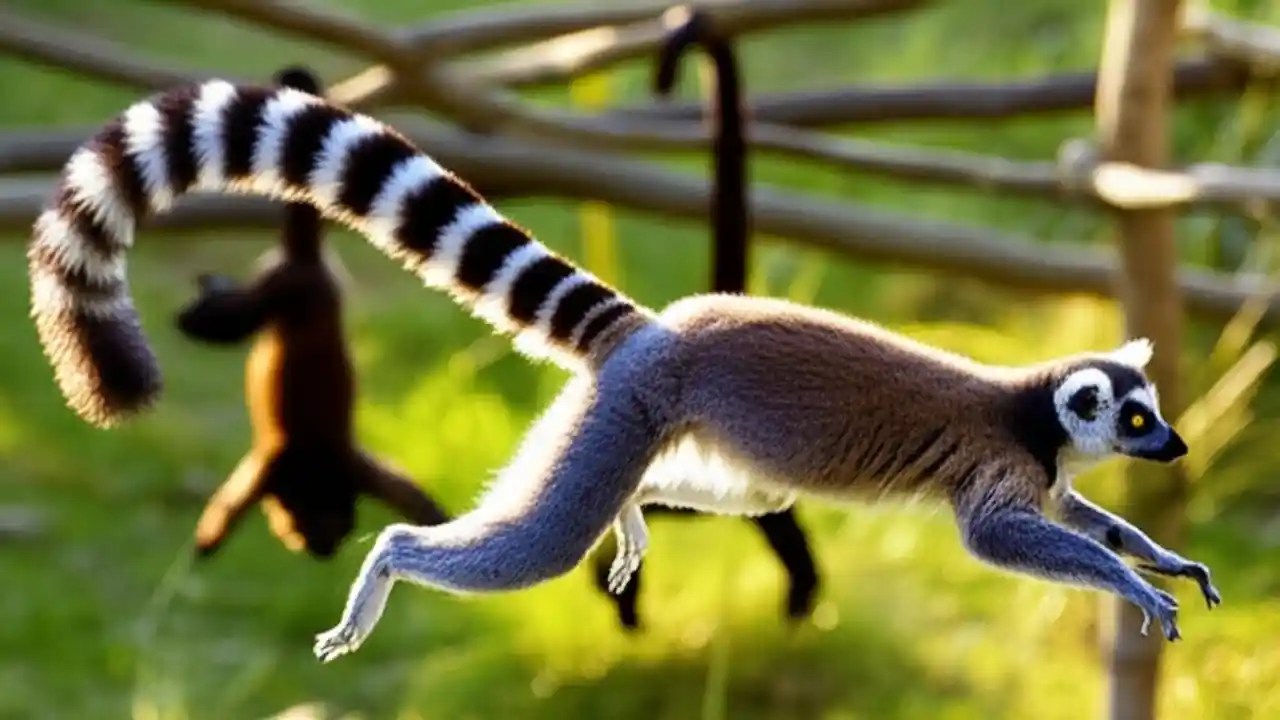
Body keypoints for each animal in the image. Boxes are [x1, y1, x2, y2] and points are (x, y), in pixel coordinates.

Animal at [172, 67, 448, 559]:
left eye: (336, 534)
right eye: (308, 529)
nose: (322, 550)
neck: (316, 462)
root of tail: (308, 260)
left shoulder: (352, 467)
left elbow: (412, 498)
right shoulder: (276, 465)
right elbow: (230, 504)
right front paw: (205, 543)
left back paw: (213, 293)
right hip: (285, 285)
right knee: (243, 318)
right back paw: (201, 319)